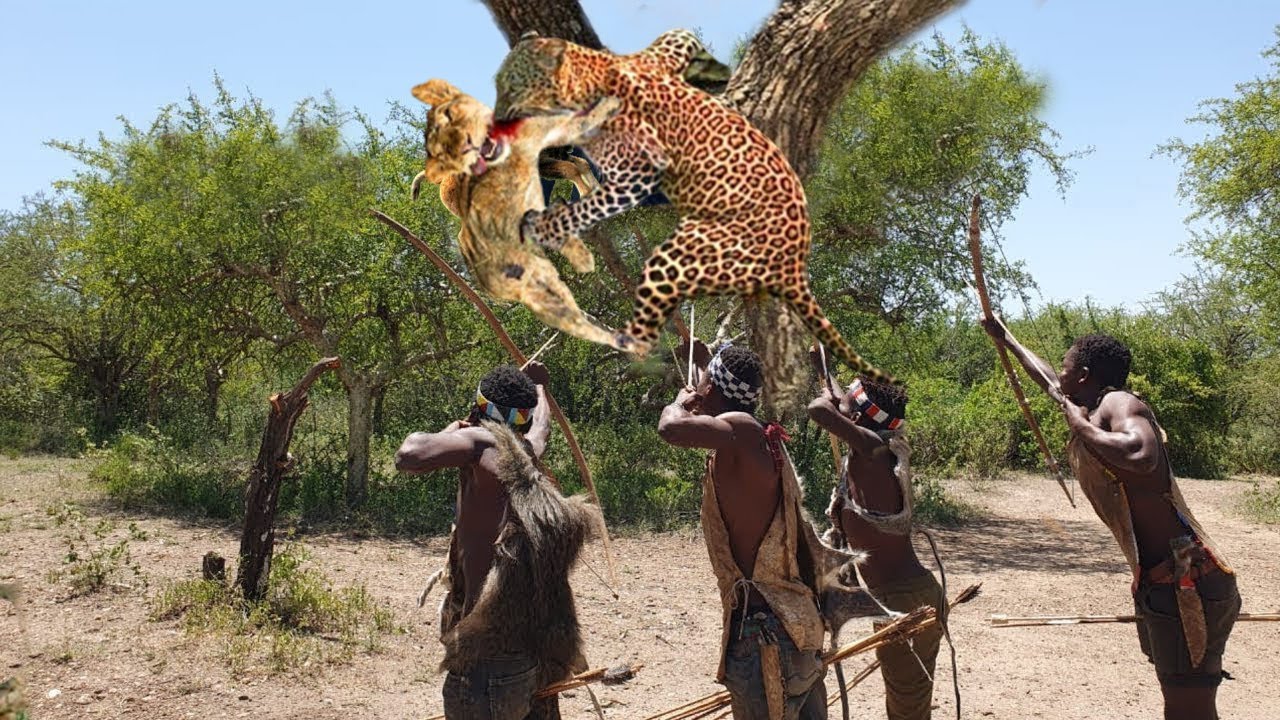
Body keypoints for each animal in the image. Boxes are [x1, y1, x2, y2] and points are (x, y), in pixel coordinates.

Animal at [410, 78, 624, 349]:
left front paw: (594, 191)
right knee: (466, 241)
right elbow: (571, 168)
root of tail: (443, 181)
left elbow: (579, 164)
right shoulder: (544, 163)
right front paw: (589, 194)